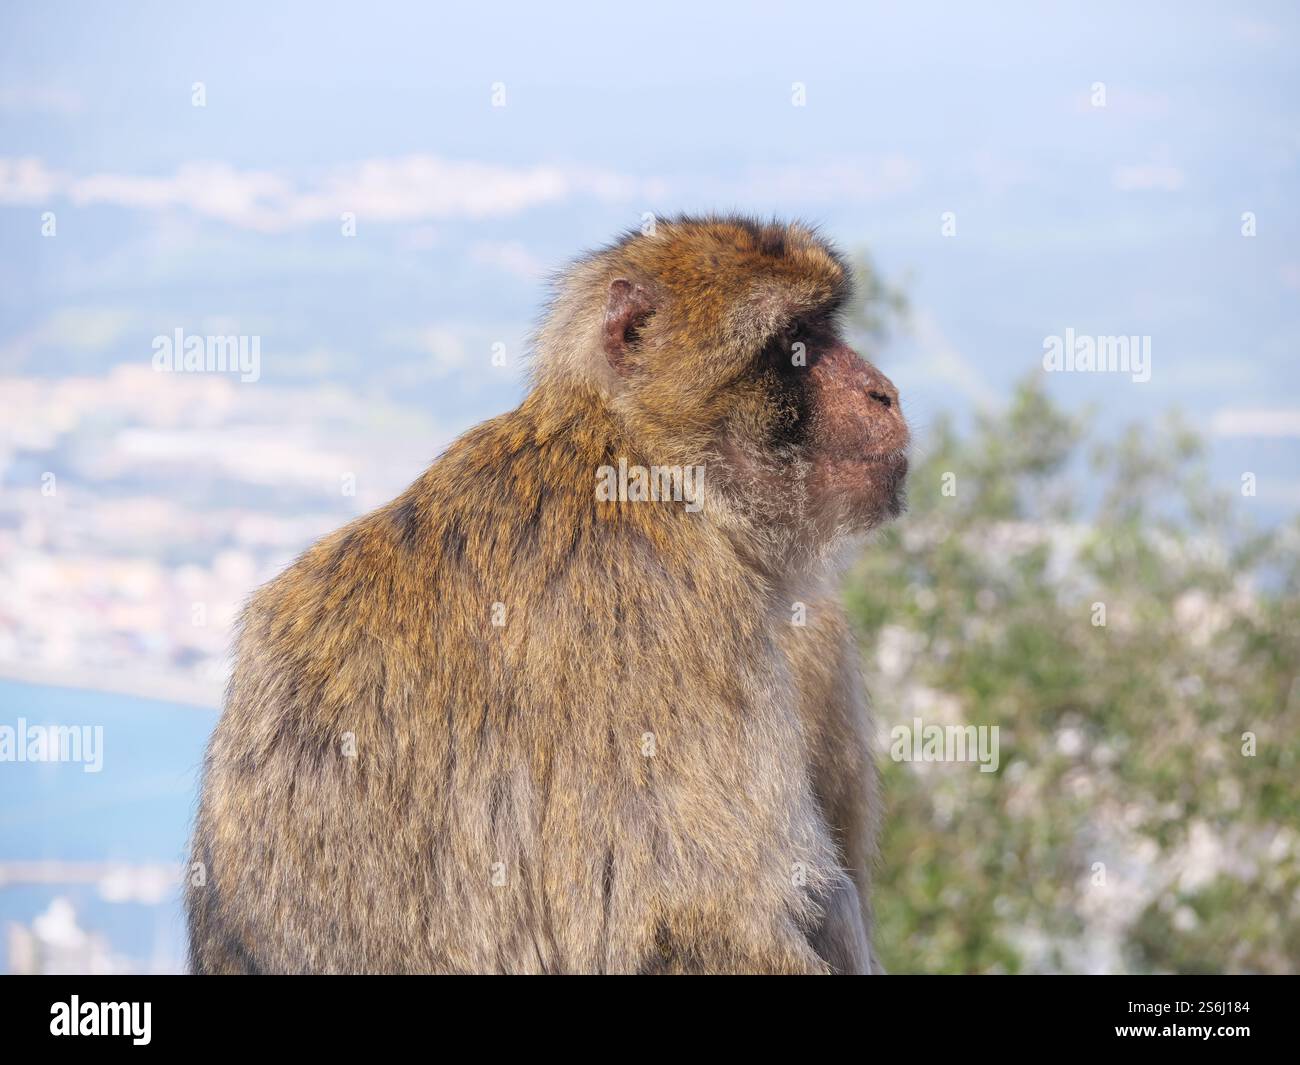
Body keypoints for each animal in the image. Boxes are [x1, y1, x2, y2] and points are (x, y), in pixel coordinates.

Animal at [186, 215, 909, 974]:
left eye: (826, 327)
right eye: (797, 343)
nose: (883, 393)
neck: (640, 461)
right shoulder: (668, 614)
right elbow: (694, 927)